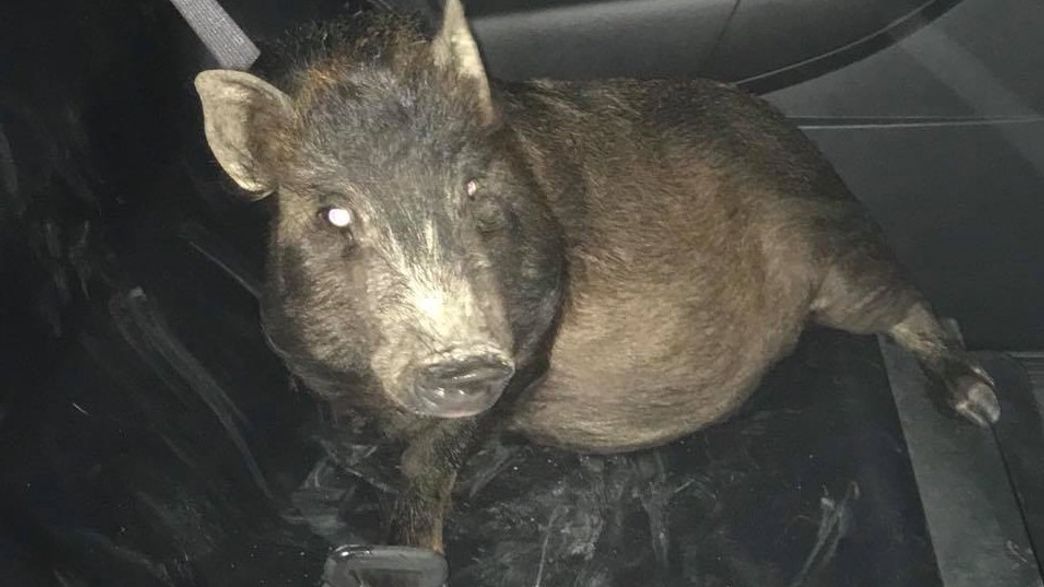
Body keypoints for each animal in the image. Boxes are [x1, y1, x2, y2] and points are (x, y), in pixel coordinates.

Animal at [192, 0, 1000, 579]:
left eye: (475, 187)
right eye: (334, 214)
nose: (463, 359)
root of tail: (802, 140)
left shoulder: (532, 329)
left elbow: (432, 461)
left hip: (839, 257)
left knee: (914, 302)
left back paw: (981, 404)